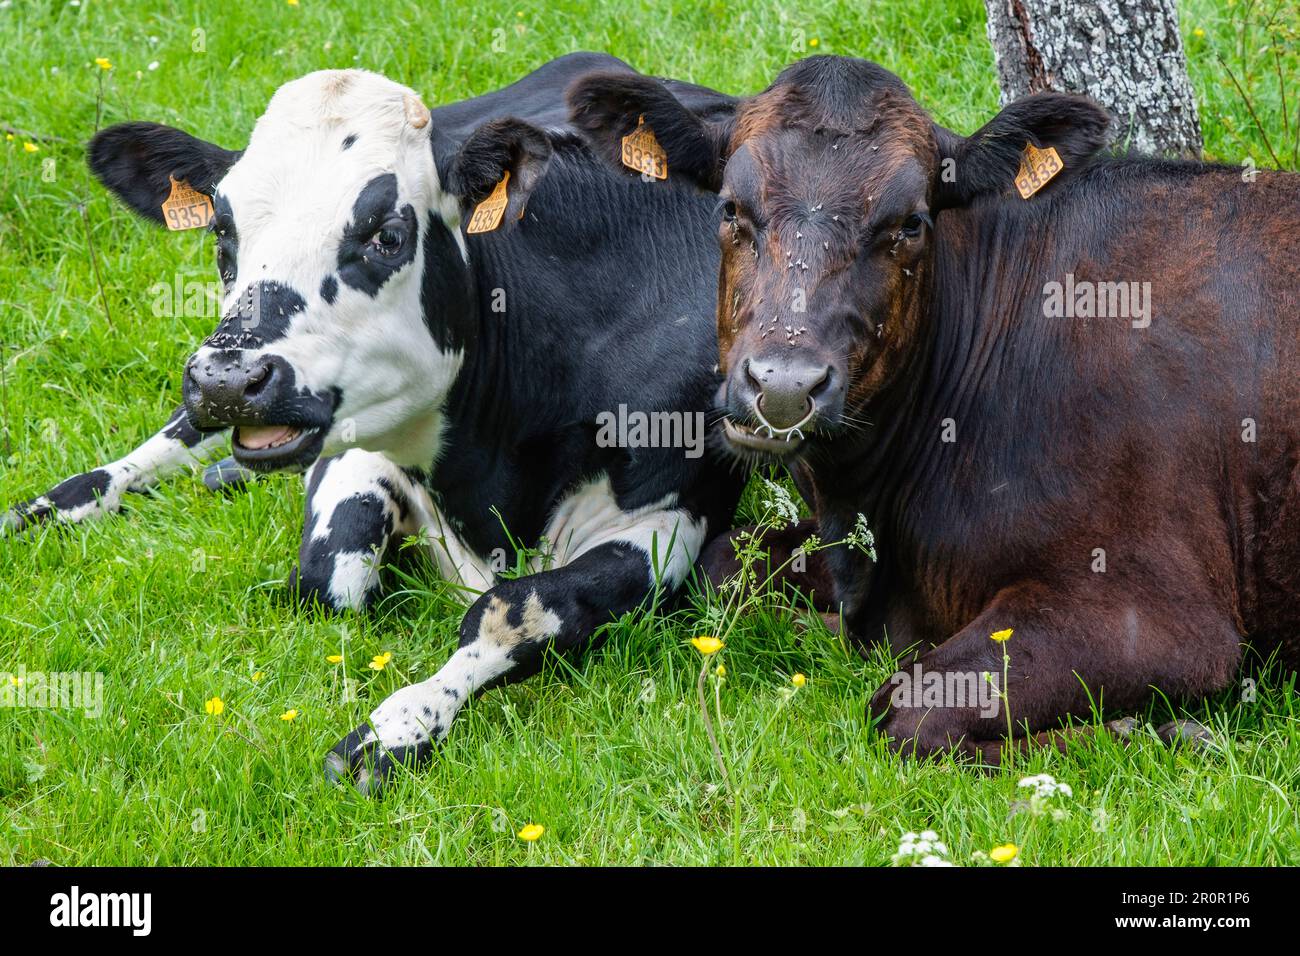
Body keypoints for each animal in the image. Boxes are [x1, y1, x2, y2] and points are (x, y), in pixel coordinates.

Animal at [5, 53, 748, 793]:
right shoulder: (356, 437)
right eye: (222, 232)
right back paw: (55, 506)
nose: (228, 380)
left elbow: (513, 613)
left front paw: (394, 730)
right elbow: (329, 575)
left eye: (386, 234)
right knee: (174, 439)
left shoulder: (671, 516)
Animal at [568, 55, 1300, 762]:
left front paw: (1155, 732)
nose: (783, 387)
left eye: (910, 224)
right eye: (728, 209)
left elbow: (905, 708)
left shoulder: (1158, 615)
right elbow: (721, 563)